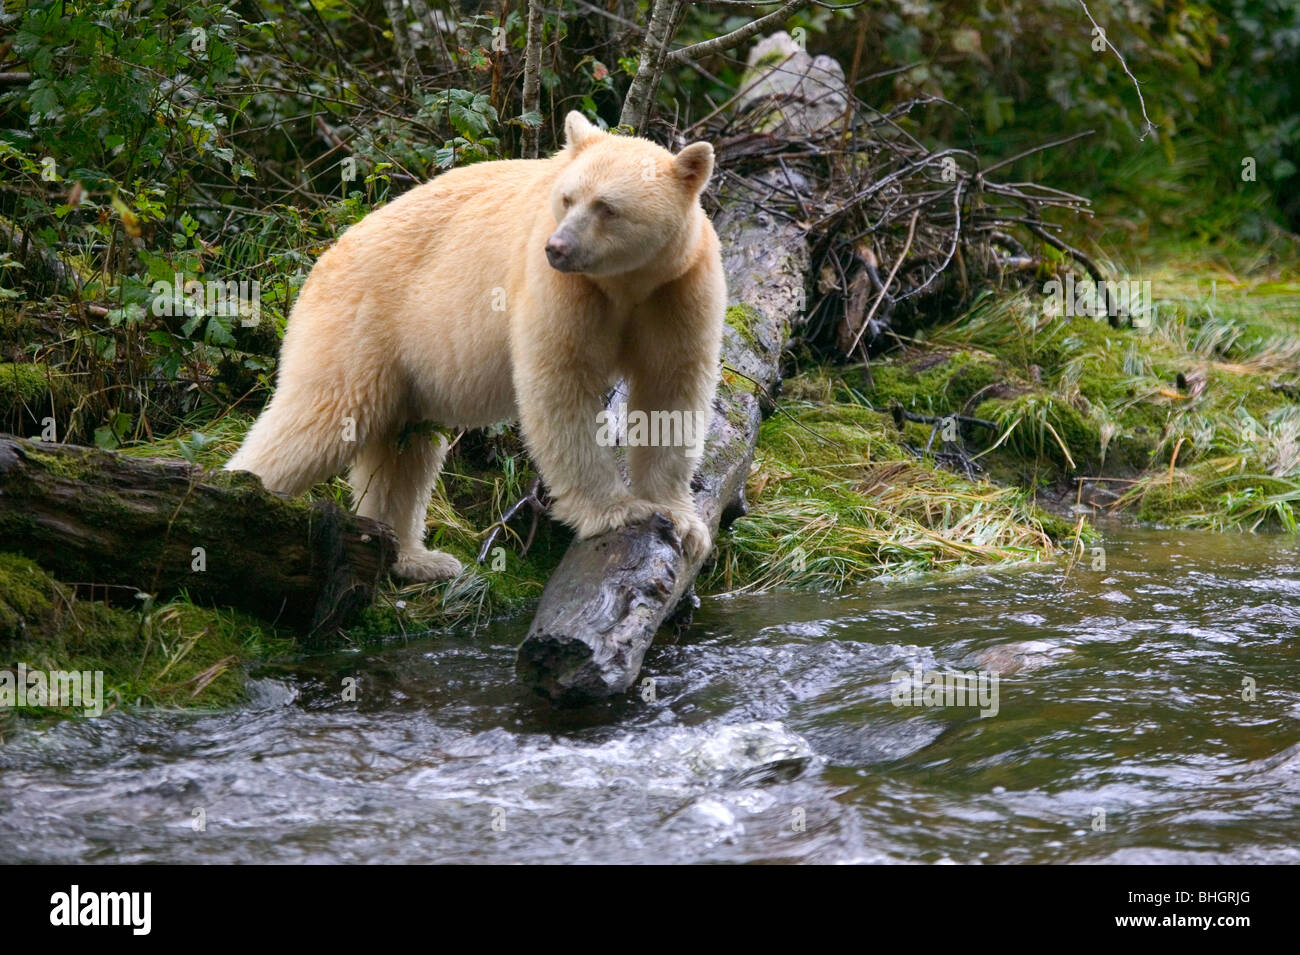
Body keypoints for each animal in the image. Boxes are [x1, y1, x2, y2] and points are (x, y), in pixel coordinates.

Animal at [224, 111, 727, 581]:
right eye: (567, 198)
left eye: (607, 207)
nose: (557, 247)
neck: (624, 285)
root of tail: (321, 260)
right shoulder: (560, 290)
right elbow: (561, 387)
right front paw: (616, 511)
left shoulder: (676, 289)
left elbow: (671, 391)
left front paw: (681, 520)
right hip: (358, 324)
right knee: (322, 417)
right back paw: (243, 499)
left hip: (403, 370)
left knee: (403, 452)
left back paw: (415, 558)